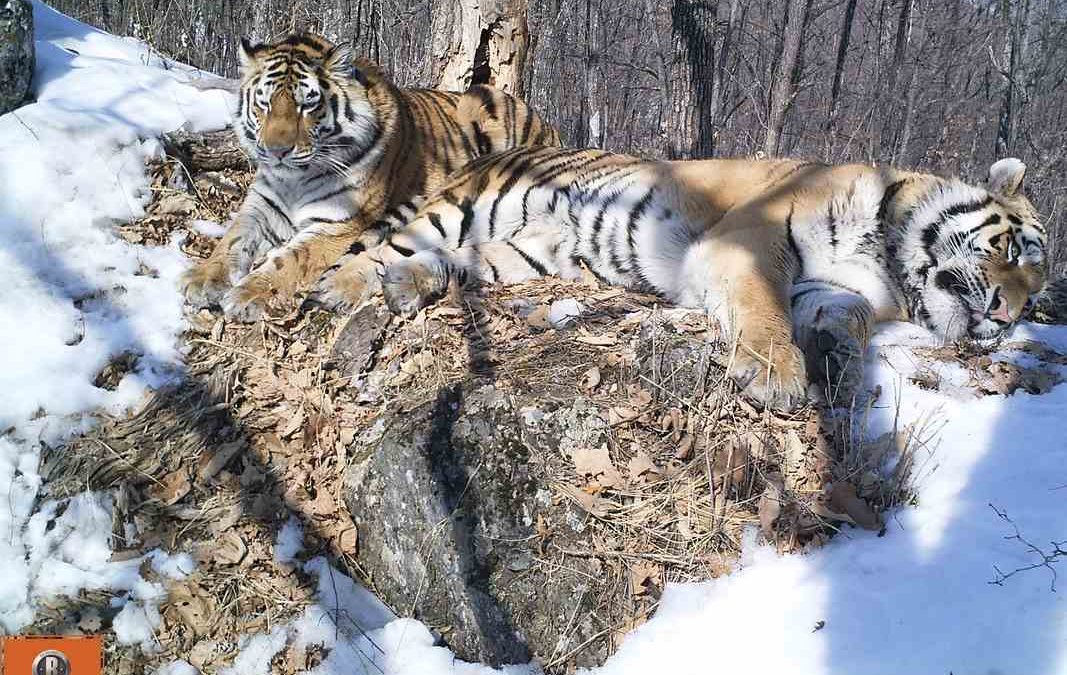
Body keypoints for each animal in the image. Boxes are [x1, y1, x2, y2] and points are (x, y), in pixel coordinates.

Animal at [182, 32, 560, 322]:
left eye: (307, 104)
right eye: (264, 103)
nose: (276, 151)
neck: (295, 180)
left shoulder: (337, 225)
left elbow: (289, 260)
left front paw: (247, 294)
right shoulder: (261, 207)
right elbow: (231, 240)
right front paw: (202, 279)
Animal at [305, 146, 1048, 411]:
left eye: (1037, 294)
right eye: (1014, 251)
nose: (1006, 316)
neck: (888, 258)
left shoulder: (834, 288)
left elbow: (846, 317)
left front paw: (837, 357)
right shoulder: (750, 240)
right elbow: (763, 310)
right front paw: (776, 376)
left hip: (524, 254)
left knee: (449, 263)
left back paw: (409, 285)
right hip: (465, 208)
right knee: (375, 248)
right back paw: (342, 288)